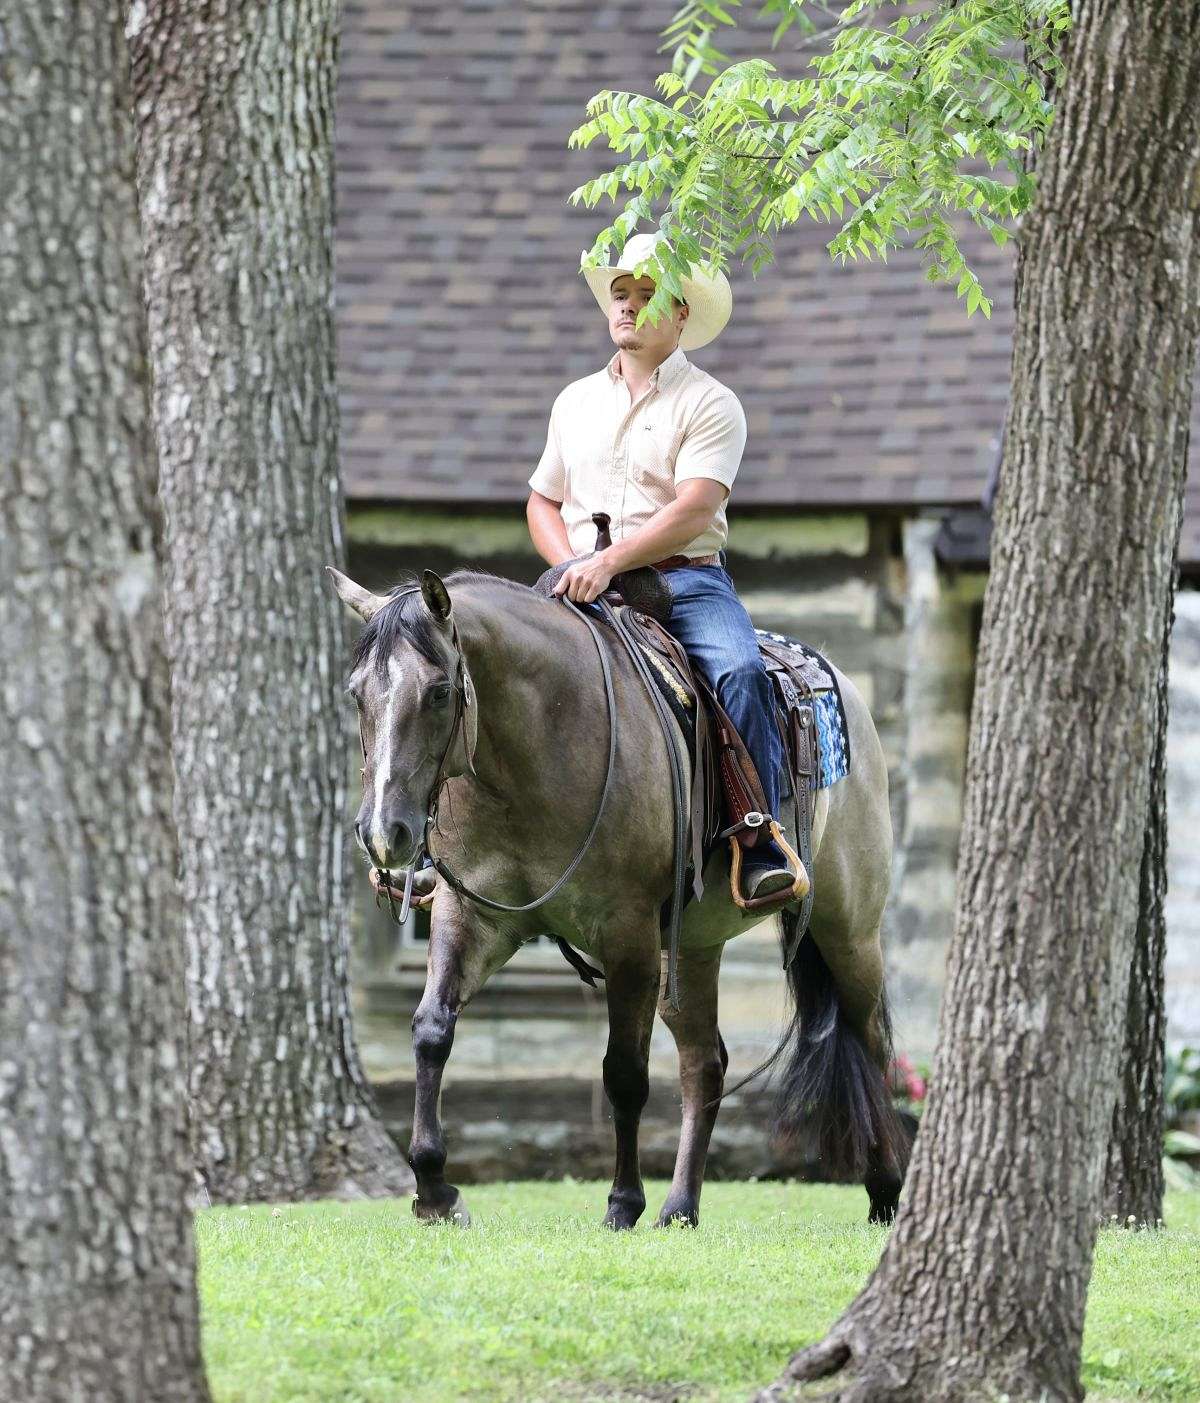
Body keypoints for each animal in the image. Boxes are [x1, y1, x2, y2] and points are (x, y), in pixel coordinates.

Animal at [330, 565, 911, 1228]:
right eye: (357, 695)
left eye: (439, 692)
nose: (384, 832)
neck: (538, 752)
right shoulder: (471, 917)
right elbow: (431, 1030)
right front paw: (434, 1190)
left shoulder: (626, 933)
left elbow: (625, 1073)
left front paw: (622, 1203)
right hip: (691, 948)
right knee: (705, 1066)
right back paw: (680, 1209)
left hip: (848, 931)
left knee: (870, 1042)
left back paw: (885, 1190)